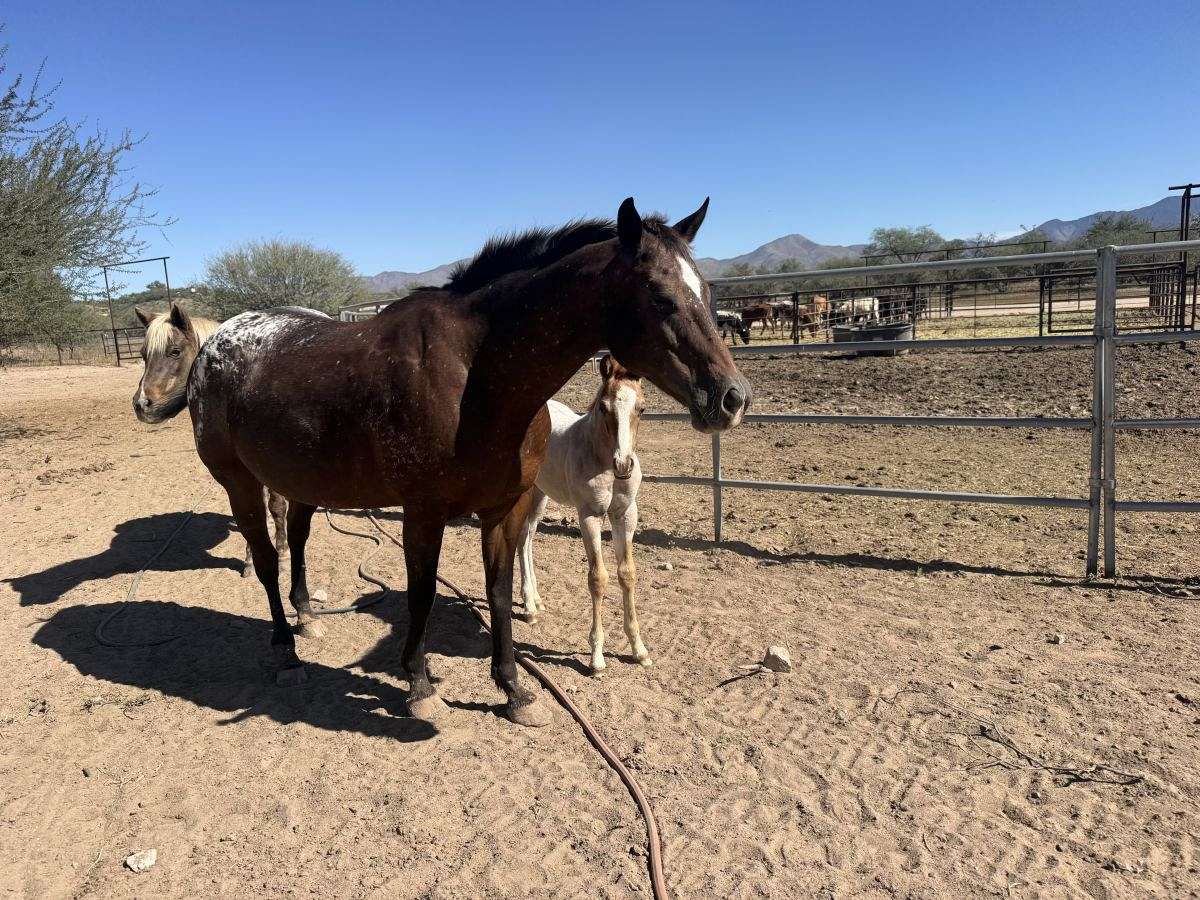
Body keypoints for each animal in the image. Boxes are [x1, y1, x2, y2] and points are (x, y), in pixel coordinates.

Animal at [132, 303, 290, 578]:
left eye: (175, 351)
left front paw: (281, 557)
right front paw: (251, 560)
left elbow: (276, 507)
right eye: (143, 354)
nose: (141, 404)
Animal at [516, 355, 648, 675]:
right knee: (519, 538)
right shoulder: (589, 515)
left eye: (641, 408)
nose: (624, 465)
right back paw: (529, 607)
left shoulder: (625, 514)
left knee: (528, 538)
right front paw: (597, 657)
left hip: (540, 495)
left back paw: (535, 600)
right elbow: (598, 578)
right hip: (524, 493)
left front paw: (638, 649)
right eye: (603, 407)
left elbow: (627, 573)